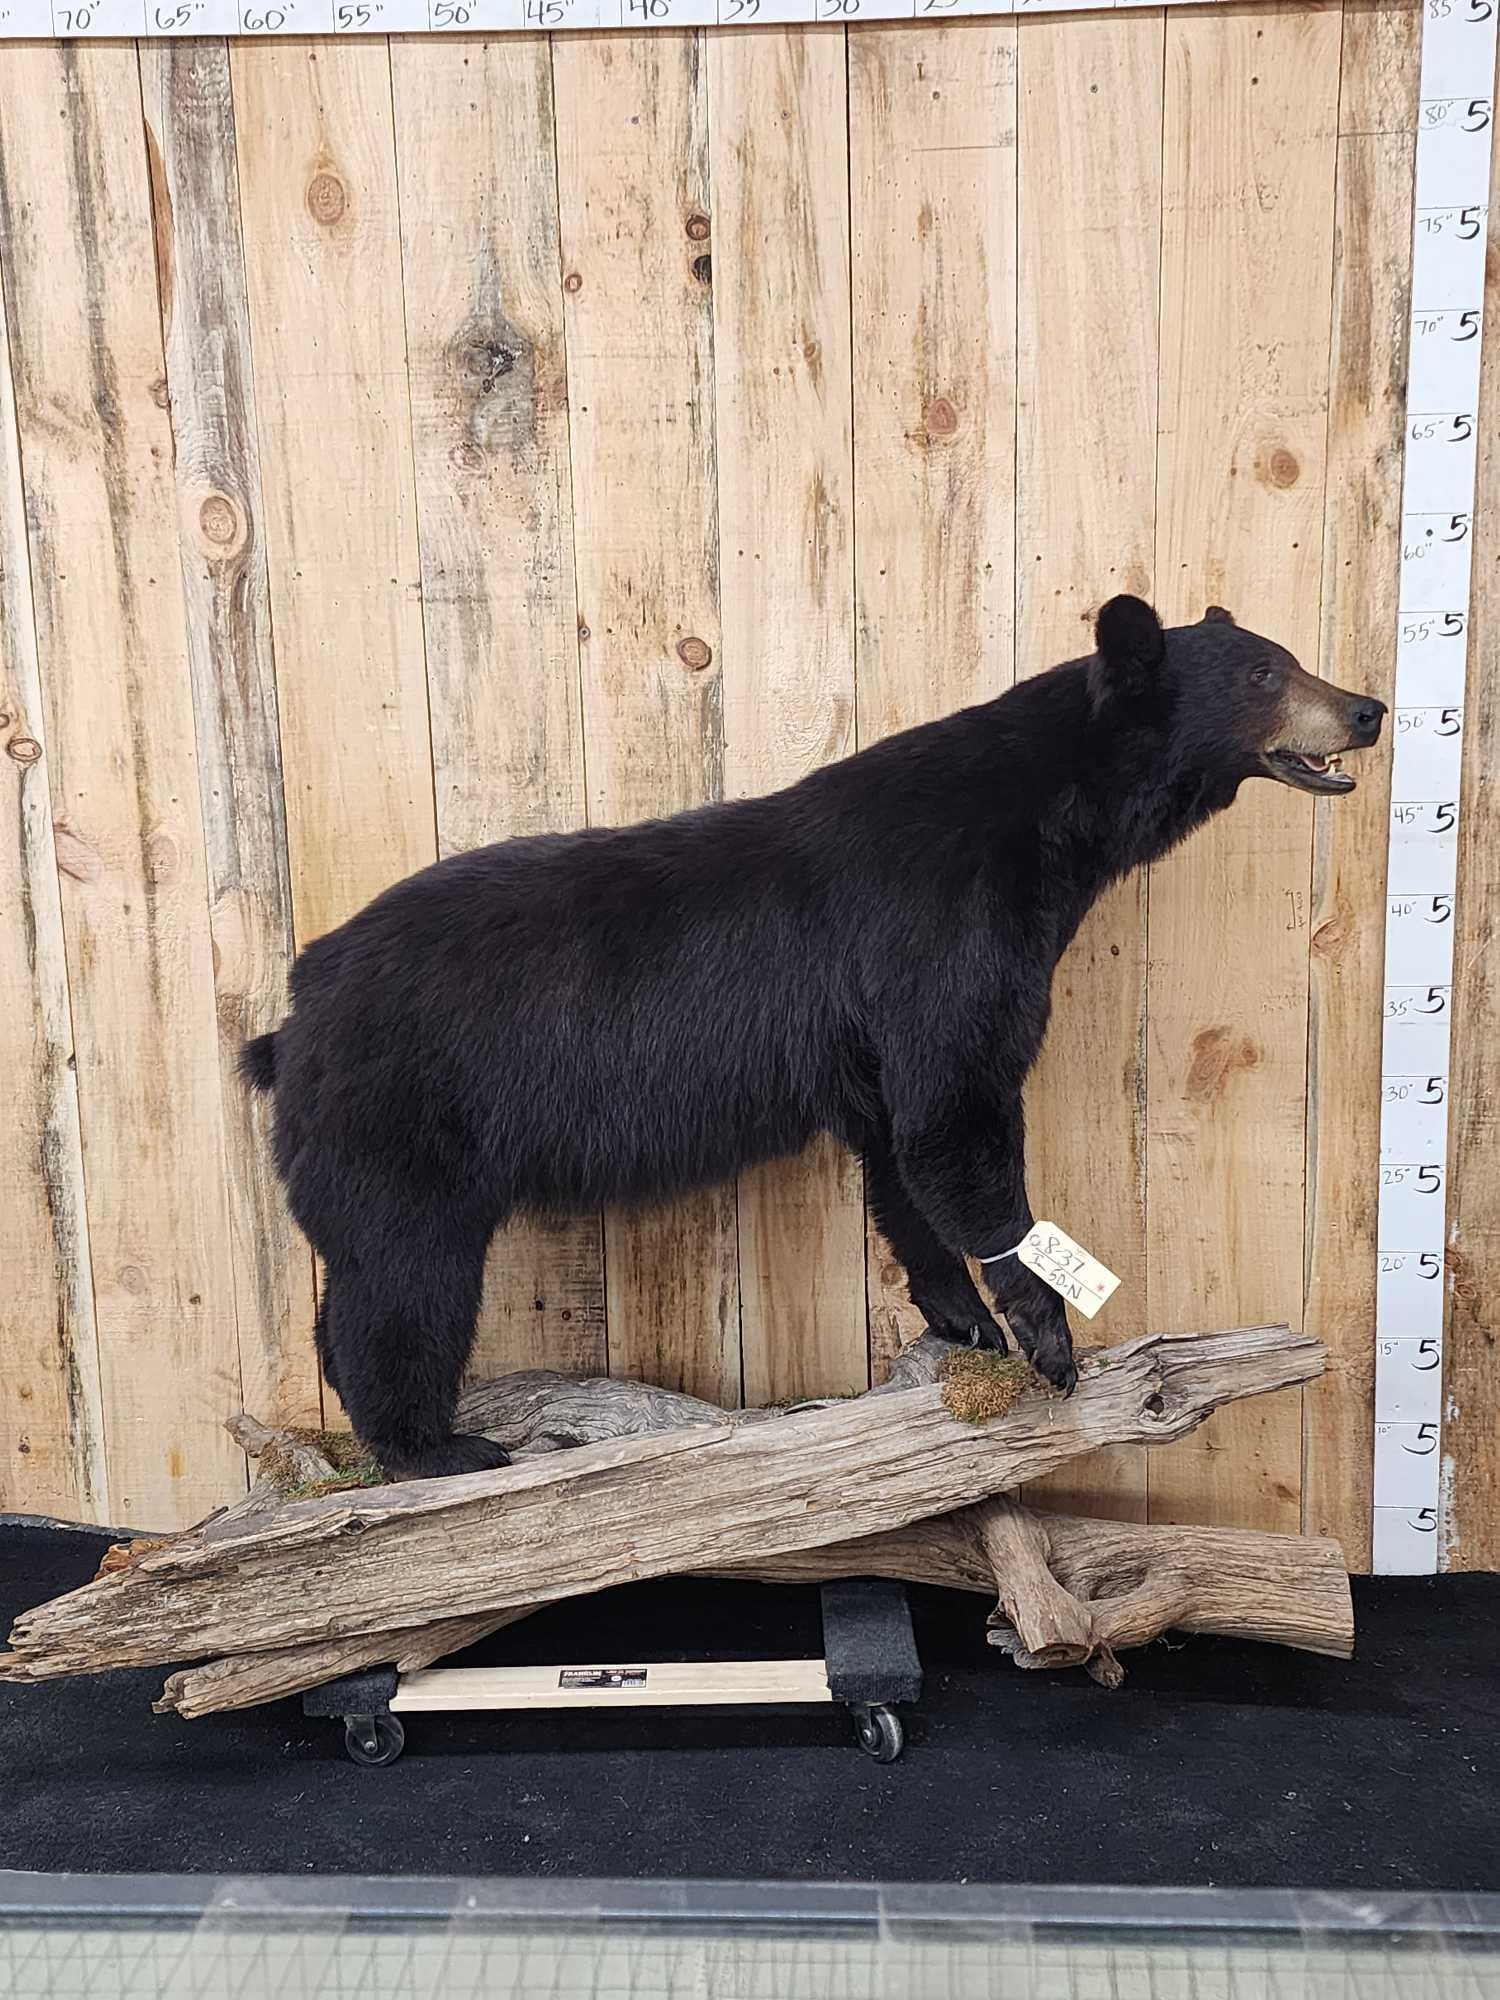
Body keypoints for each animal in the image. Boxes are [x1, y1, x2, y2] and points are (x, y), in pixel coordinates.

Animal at [243, 595, 1384, 1481]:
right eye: (1267, 669)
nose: (1368, 709)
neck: (1046, 823)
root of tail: (290, 1018)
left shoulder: (875, 1039)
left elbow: (902, 1155)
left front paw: (960, 1317)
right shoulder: (941, 936)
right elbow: (959, 1117)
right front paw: (1046, 1331)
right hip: (401, 1124)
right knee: (405, 1278)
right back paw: (438, 1446)